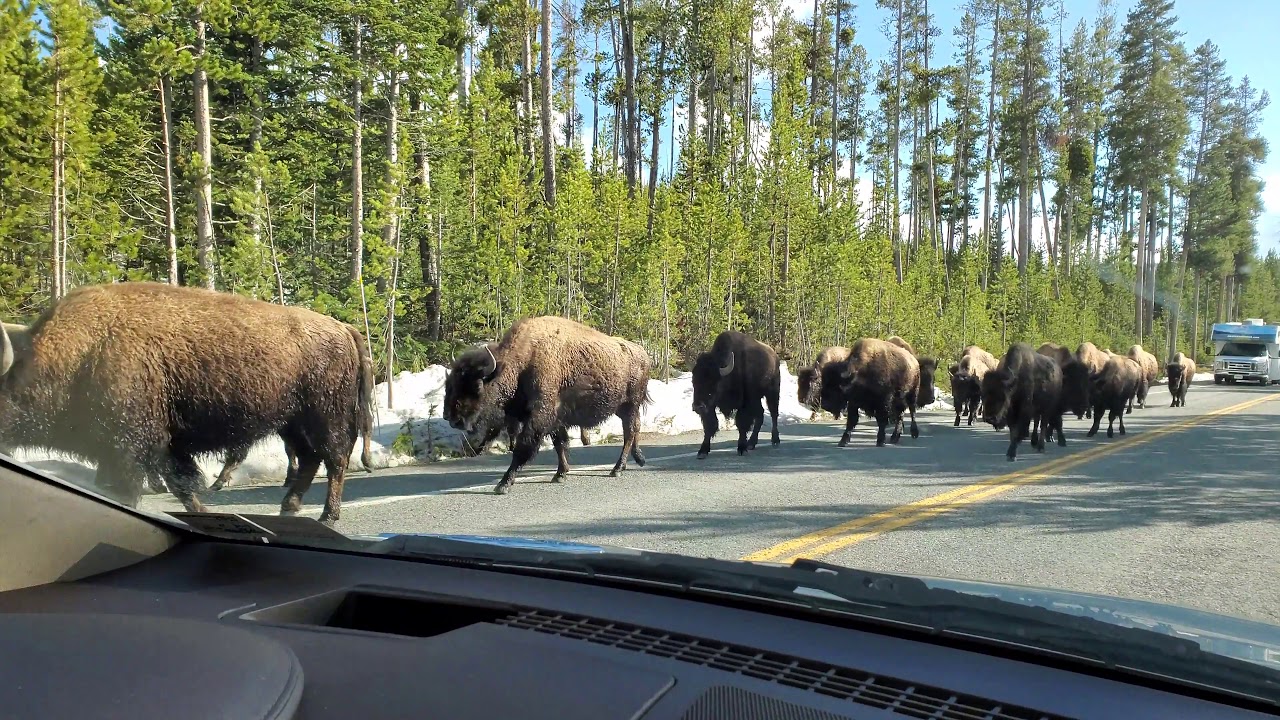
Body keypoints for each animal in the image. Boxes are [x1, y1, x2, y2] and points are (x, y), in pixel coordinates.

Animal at [0, 282, 373, 524]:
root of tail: (343, 328)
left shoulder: (131, 446)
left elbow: (157, 486)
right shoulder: (156, 447)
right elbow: (177, 485)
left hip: (325, 417)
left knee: (334, 459)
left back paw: (327, 516)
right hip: (291, 423)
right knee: (310, 458)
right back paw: (289, 508)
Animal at [443, 317, 651, 494]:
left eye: (477, 386)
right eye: (450, 383)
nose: (452, 419)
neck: (522, 362)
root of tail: (643, 353)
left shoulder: (540, 416)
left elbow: (524, 448)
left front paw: (503, 484)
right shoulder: (554, 419)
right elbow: (560, 444)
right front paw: (560, 474)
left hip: (630, 404)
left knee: (629, 433)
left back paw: (617, 469)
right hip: (623, 409)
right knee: (635, 429)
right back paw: (638, 459)